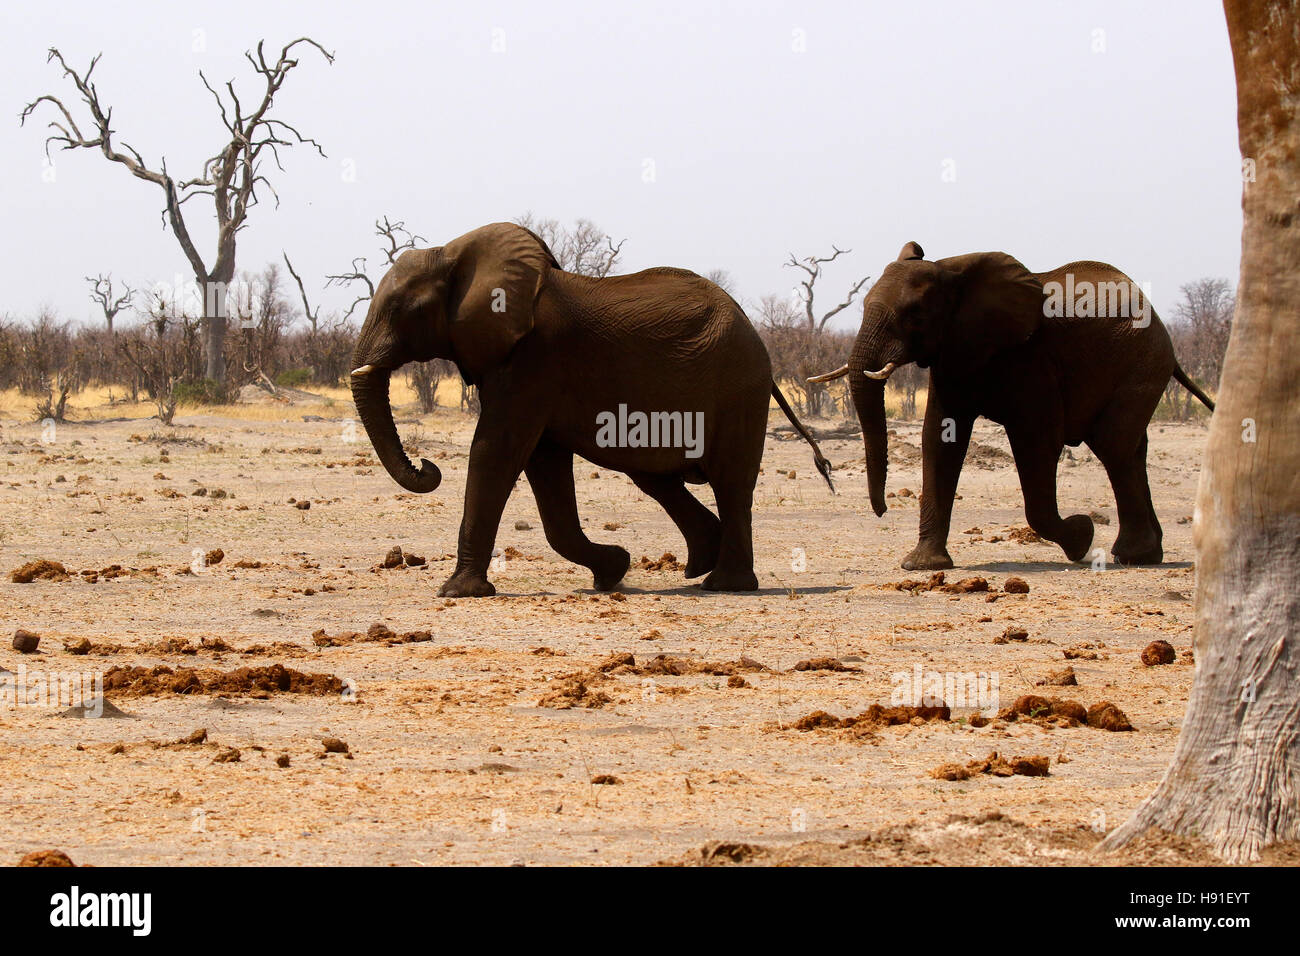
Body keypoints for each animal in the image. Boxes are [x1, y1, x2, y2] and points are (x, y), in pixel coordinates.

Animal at [350, 222, 832, 597]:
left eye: (408, 309)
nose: (428, 467)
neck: (454, 252)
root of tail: (754, 331)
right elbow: (542, 463)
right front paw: (613, 571)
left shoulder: (534, 358)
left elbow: (495, 450)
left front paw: (457, 592)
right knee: (658, 479)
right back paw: (700, 568)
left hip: (739, 387)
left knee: (730, 481)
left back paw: (725, 585)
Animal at [810, 241, 1216, 570]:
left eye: (914, 313)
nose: (881, 511)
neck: (952, 270)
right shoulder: (955, 350)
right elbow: (940, 438)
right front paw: (922, 565)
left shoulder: (1032, 358)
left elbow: (1036, 442)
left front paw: (1082, 535)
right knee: (1131, 449)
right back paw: (1146, 554)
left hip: (1144, 359)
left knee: (1113, 445)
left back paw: (1131, 556)